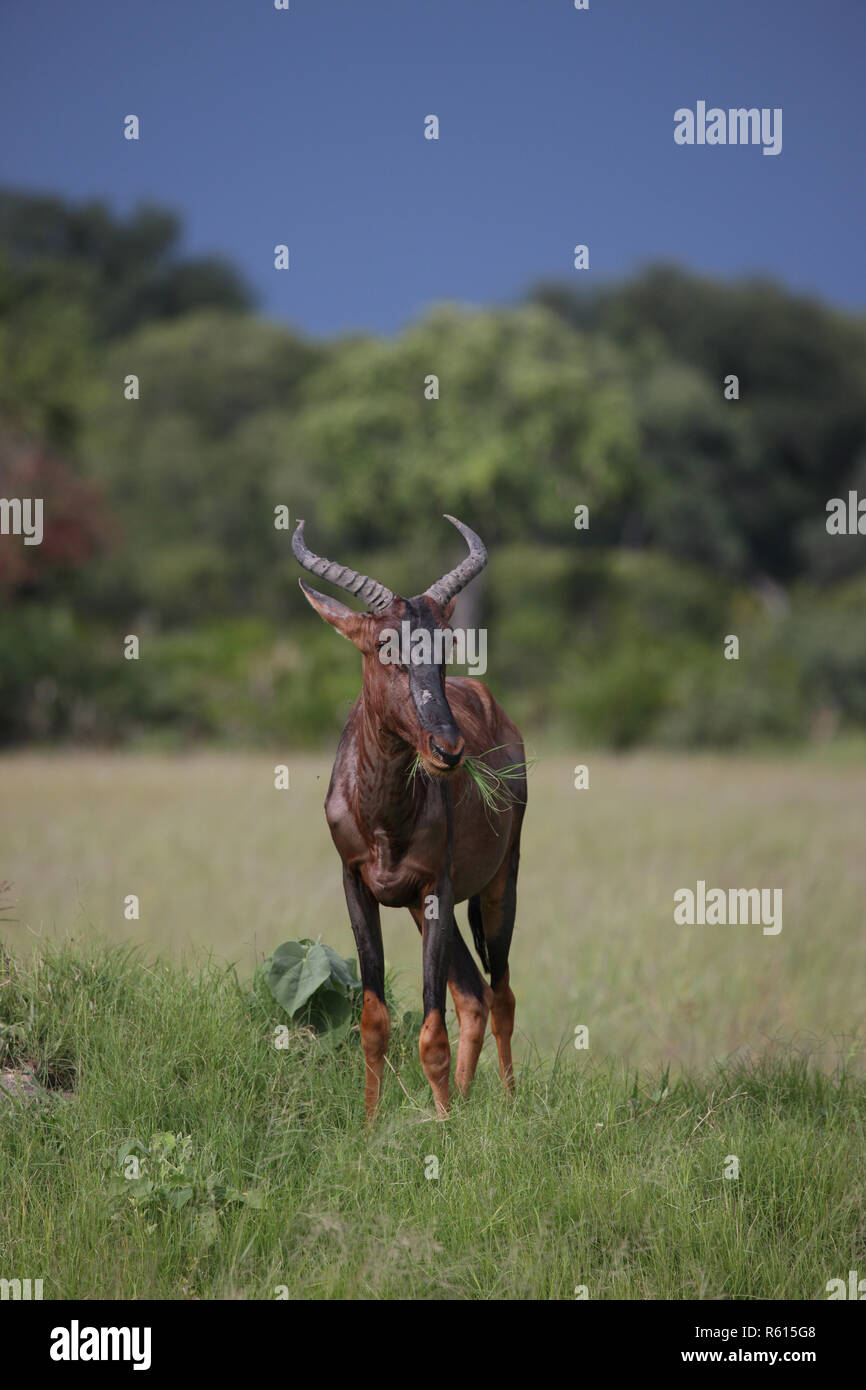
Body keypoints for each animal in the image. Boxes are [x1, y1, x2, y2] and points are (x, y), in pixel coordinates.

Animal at [293, 515, 526, 1118]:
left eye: (445, 643)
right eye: (384, 644)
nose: (447, 748)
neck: (384, 818)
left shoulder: (436, 888)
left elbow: (431, 1032)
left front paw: (440, 1126)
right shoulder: (357, 886)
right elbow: (374, 1020)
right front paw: (373, 1125)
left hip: (499, 884)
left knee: (501, 993)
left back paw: (507, 1104)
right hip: (425, 911)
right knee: (472, 995)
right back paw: (464, 1102)